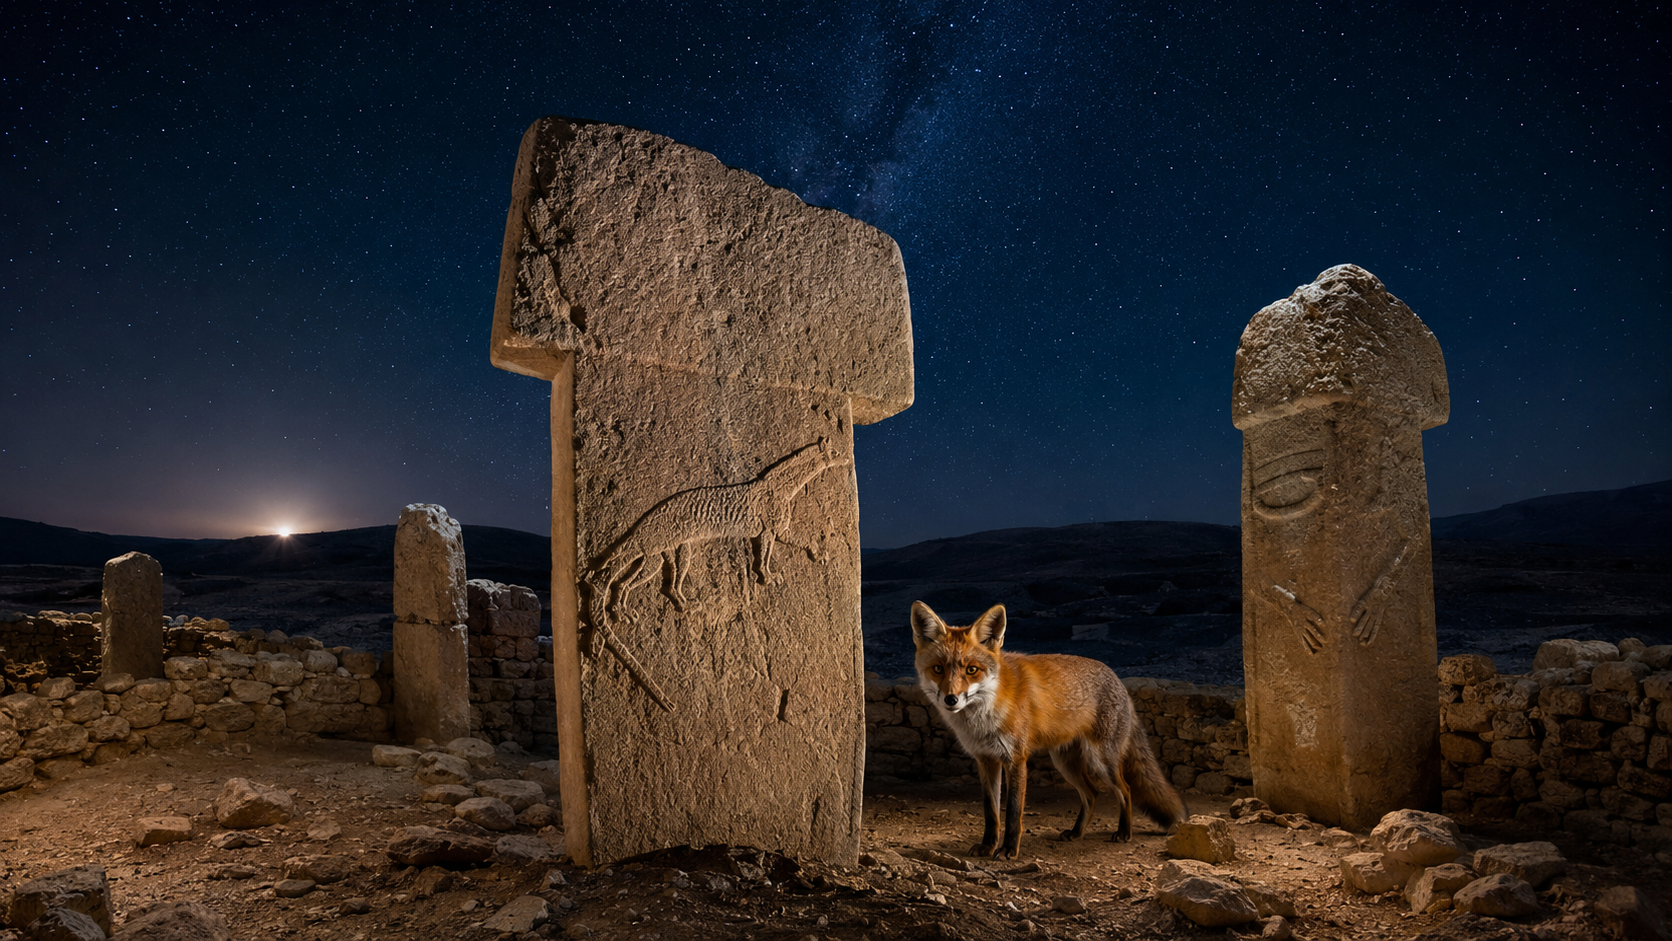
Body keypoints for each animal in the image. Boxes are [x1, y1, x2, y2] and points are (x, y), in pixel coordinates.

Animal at [911, 600, 1185, 859]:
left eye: (971, 670)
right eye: (938, 668)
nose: (951, 699)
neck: (984, 715)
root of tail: (1119, 681)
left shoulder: (1015, 759)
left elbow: (1012, 812)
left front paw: (1008, 850)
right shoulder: (986, 760)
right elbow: (991, 813)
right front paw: (987, 846)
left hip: (1101, 760)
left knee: (1125, 790)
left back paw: (1124, 833)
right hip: (1065, 763)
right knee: (1092, 794)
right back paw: (1076, 832)